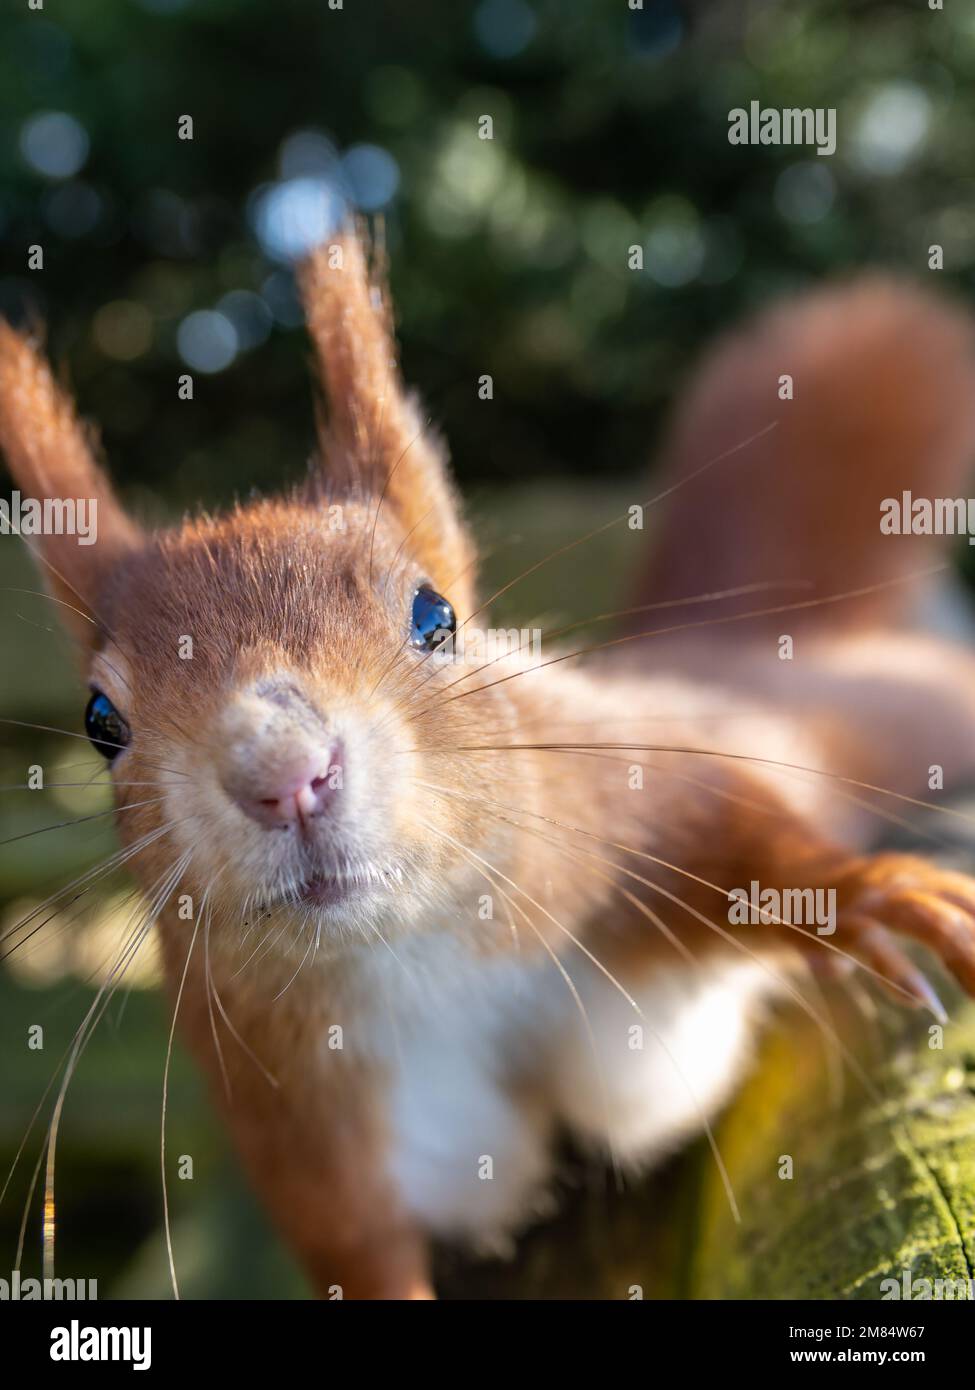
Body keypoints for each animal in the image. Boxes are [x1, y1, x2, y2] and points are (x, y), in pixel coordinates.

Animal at [3, 233, 975, 1300]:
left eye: (435, 616)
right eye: (101, 722)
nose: (284, 774)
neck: (414, 953)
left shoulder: (628, 794)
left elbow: (741, 834)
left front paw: (870, 894)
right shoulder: (307, 1135)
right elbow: (362, 1259)